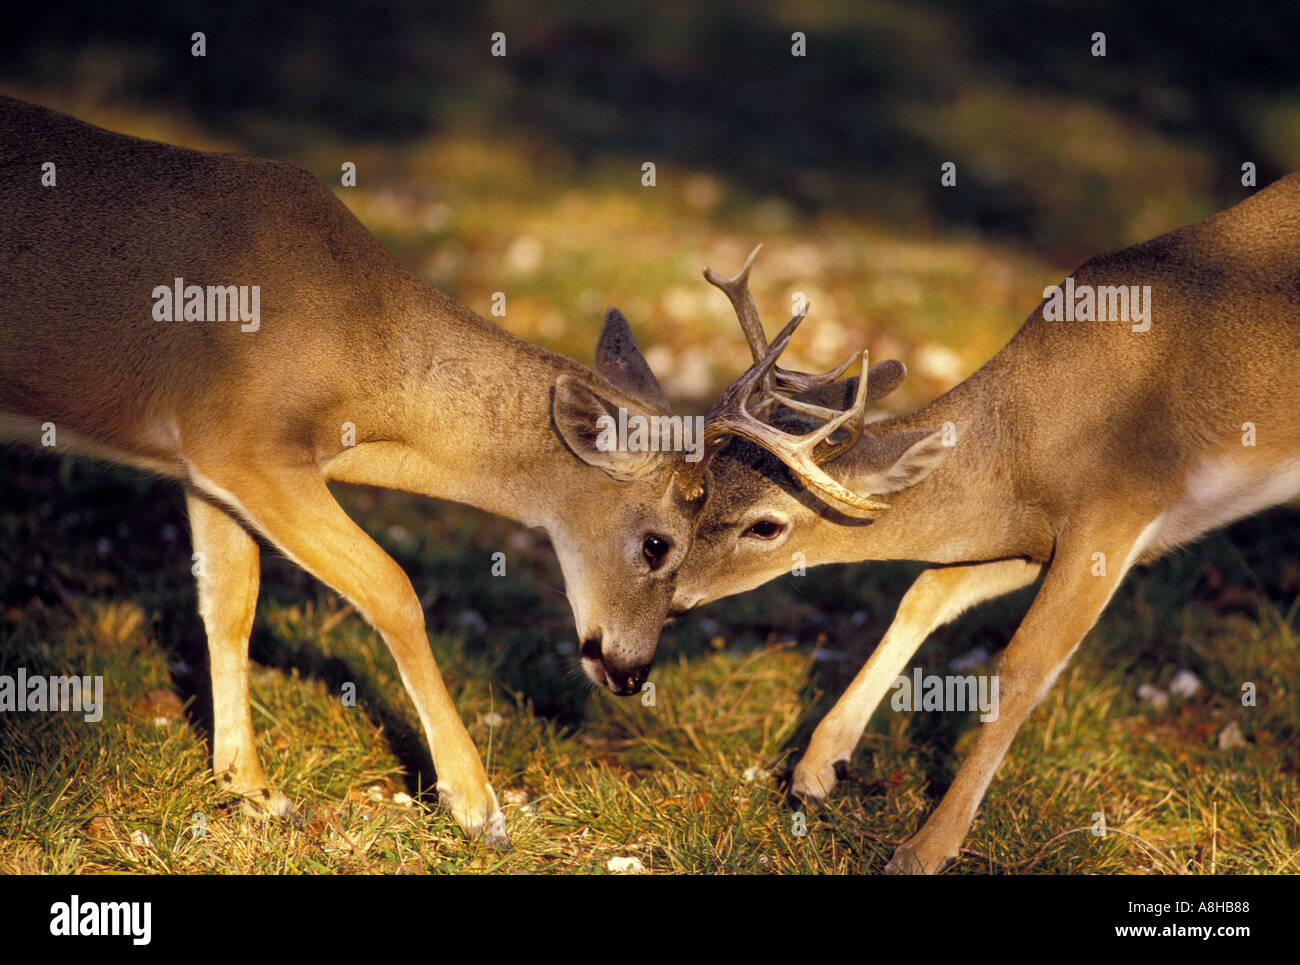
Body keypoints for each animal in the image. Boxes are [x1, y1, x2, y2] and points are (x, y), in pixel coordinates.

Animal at [0, 95, 702, 851]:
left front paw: (251, 787)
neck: (359, 367)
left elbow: (230, 603)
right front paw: (477, 806)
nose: (630, 673)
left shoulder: (204, 465)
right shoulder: (243, 440)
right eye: (658, 544)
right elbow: (392, 587)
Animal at [669, 173, 1300, 873]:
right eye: (706, 489)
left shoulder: (1117, 512)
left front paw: (925, 847)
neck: (1024, 450)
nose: (669, 593)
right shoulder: (1034, 540)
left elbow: (1024, 665)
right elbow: (926, 592)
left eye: (765, 527)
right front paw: (816, 770)